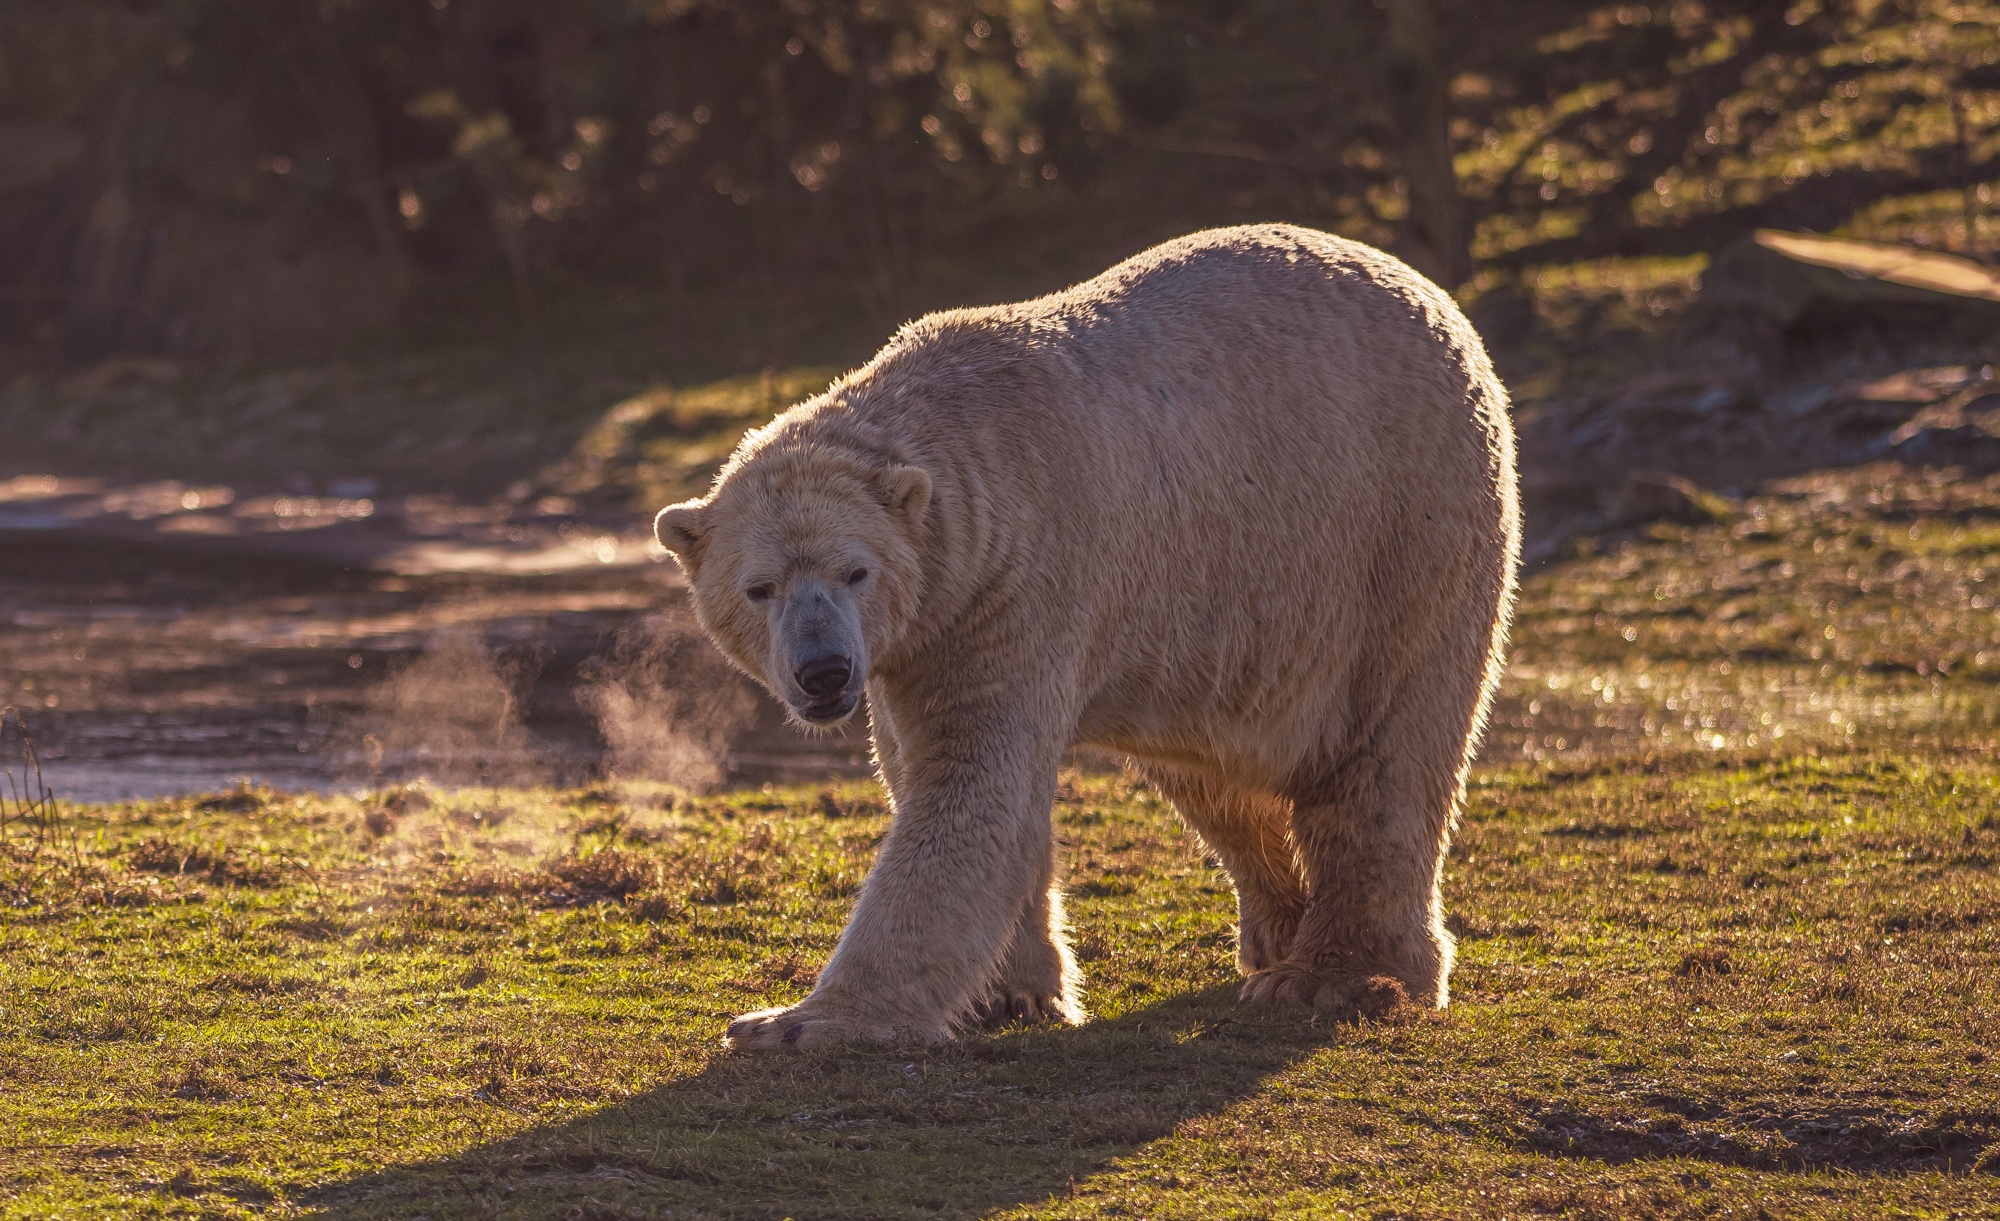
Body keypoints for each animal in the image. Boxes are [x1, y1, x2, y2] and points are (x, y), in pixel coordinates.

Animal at [654, 224, 1520, 1051]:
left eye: (855, 571)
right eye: (759, 587)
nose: (825, 672)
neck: (972, 446)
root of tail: (1435, 299)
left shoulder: (1019, 586)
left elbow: (971, 787)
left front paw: (791, 1020)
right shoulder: (930, 633)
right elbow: (948, 779)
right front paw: (1013, 994)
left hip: (1400, 535)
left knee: (1386, 751)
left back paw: (1334, 976)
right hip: (1217, 632)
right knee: (1215, 778)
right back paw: (1277, 934)